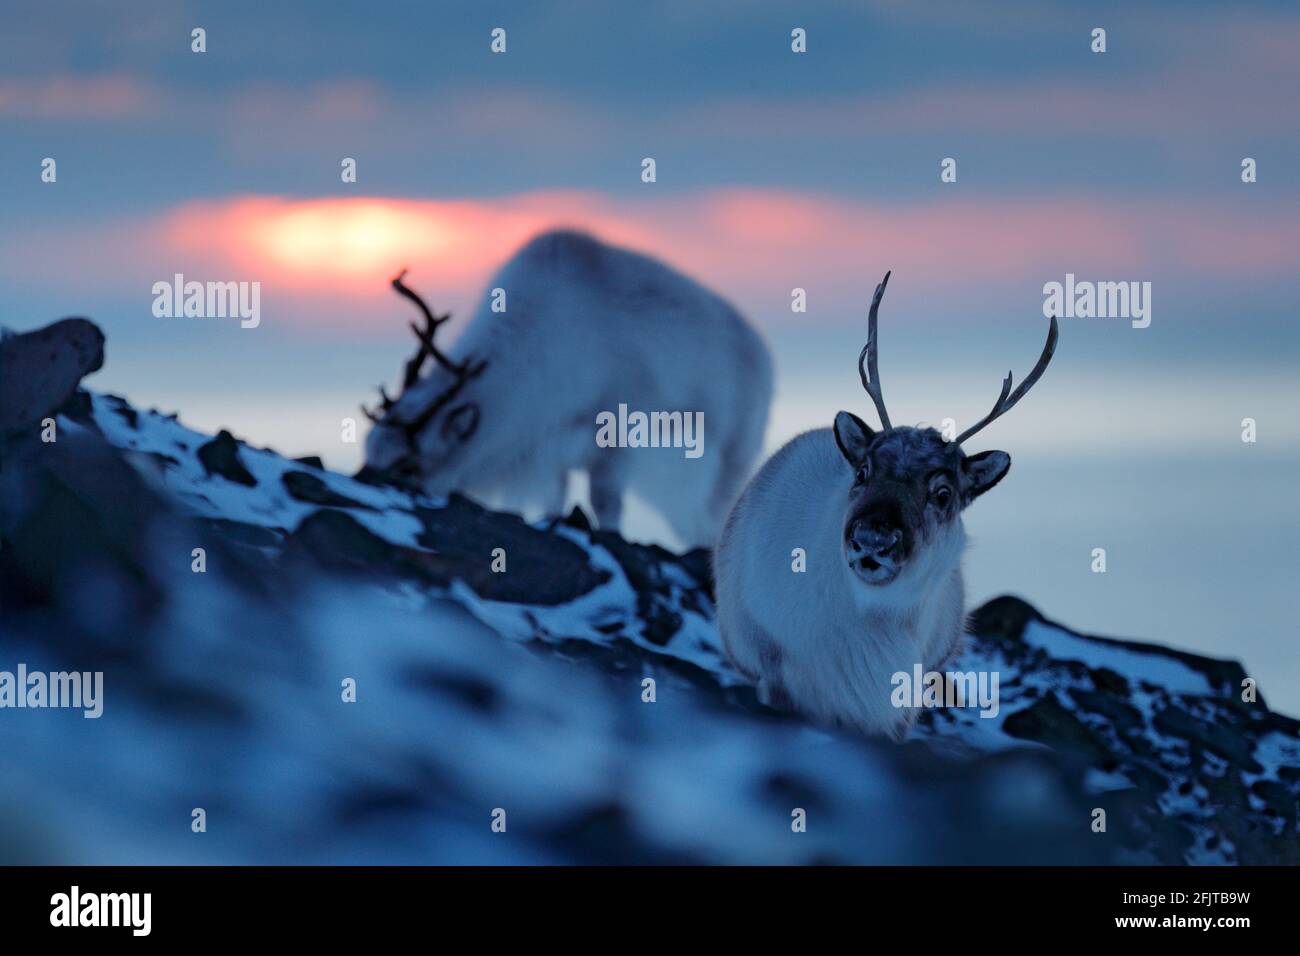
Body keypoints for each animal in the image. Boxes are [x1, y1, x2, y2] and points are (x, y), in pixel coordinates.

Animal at [360, 229, 773, 548]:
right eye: (371, 452)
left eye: (410, 463)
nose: (367, 484)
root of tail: (764, 354)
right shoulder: (547, 451)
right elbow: (553, 504)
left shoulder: (617, 434)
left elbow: (606, 504)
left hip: (734, 458)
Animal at [714, 272, 1058, 739]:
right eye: (862, 473)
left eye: (943, 493)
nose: (872, 541)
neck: (874, 623)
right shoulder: (779, 677)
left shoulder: (902, 703)